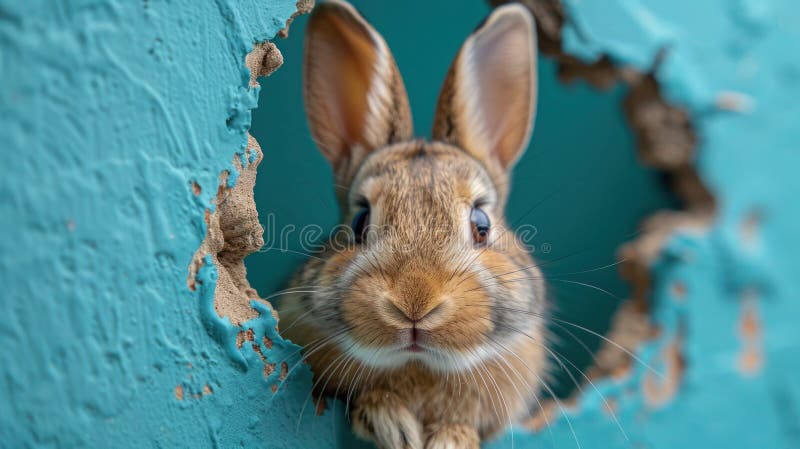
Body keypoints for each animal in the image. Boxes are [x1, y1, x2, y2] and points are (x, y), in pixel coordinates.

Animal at [278, 1, 547, 448]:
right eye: (360, 220)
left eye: (481, 222)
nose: (414, 304)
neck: (417, 366)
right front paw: (391, 422)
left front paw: (452, 438)